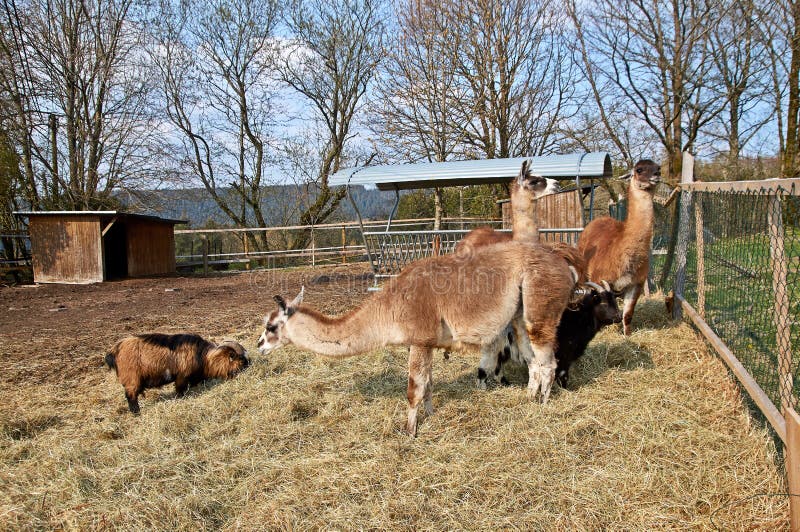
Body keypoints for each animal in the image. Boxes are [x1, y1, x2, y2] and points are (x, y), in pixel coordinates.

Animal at [105, 333, 249, 414]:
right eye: (241, 359)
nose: (249, 365)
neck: (202, 356)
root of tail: (114, 351)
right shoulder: (181, 377)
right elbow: (180, 390)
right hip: (132, 380)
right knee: (131, 397)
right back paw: (137, 413)